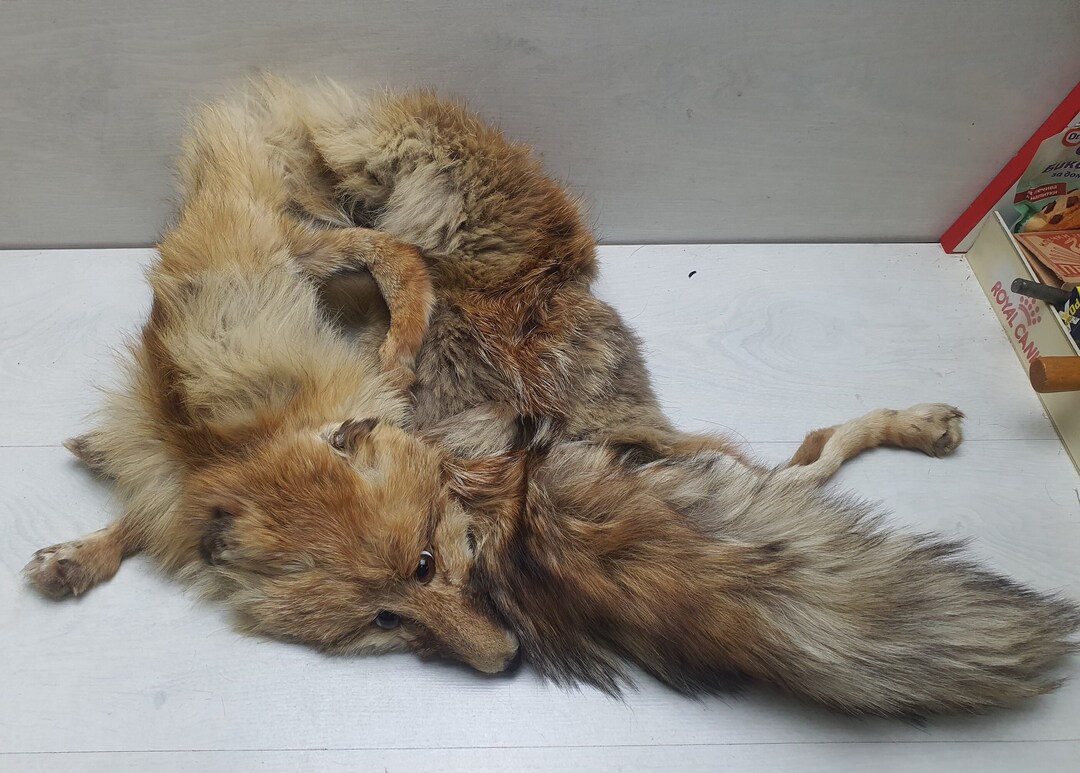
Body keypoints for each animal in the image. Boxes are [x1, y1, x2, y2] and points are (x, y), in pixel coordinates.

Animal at [30, 78, 1078, 715]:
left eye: (425, 570)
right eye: (382, 622)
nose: (507, 666)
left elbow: (380, 261)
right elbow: (151, 506)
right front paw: (84, 548)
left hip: (675, 443)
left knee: (815, 450)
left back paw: (923, 422)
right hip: (671, 455)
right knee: (808, 456)